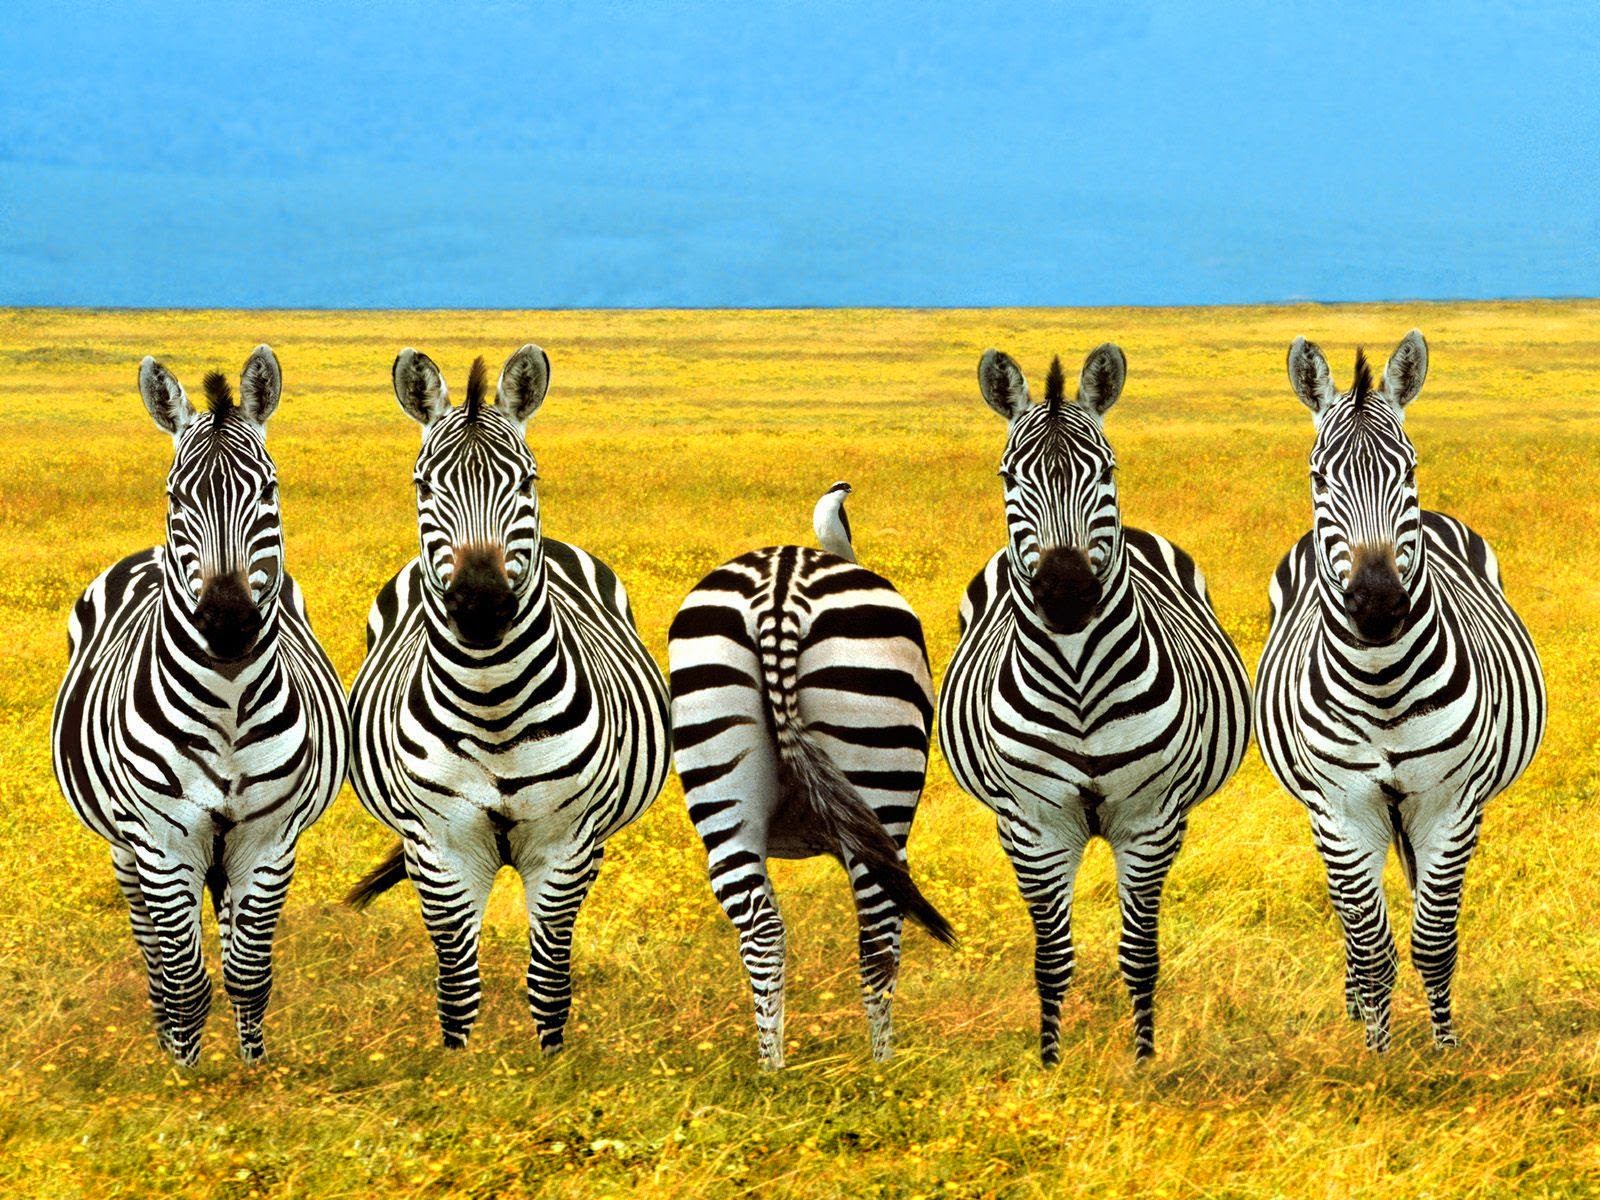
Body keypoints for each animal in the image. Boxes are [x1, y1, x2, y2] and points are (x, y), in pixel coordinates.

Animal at [51, 346, 349, 1066]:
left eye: (268, 490)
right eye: (175, 496)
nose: (228, 620)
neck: (228, 704)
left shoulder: (269, 840)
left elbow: (248, 970)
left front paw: (252, 1071)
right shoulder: (162, 840)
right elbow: (184, 979)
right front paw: (183, 1075)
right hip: (127, 849)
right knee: (153, 951)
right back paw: (164, 1037)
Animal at [344, 345, 671, 1053]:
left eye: (527, 480)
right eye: (423, 487)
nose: (482, 605)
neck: (493, 706)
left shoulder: (564, 845)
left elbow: (549, 978)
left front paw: (551, 1066)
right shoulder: (441, 846)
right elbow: (457, 984)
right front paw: (458, 1068)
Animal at [667, 480, 955, 1068]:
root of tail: (780, 586)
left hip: (718, 774)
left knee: (762, 931)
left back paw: (772, 1070)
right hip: (880, 777)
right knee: (878, 935)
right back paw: (882, 1069)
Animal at [939, 345, 1251, 1062]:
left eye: (1106, 470)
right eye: (1008, 477)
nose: (1066, 592)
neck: (1080, 681)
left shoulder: (1151, 821)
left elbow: (1139, 954)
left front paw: (1143, 1061)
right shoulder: (1033, 826)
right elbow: (1052, 958)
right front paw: (1051, 1062)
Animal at [1256, 330, 1546, 1052]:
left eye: (1408, 470)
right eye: (1319, 477)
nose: (1379, 604)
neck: (1382, 680)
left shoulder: (1451, 804)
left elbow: (1433, 942)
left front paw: (1443, 1052)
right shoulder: (1342, 808)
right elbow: (1371, 944)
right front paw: (1377, 1055)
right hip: (1324, 813)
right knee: (1349, 915)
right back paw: (1356, 1006)